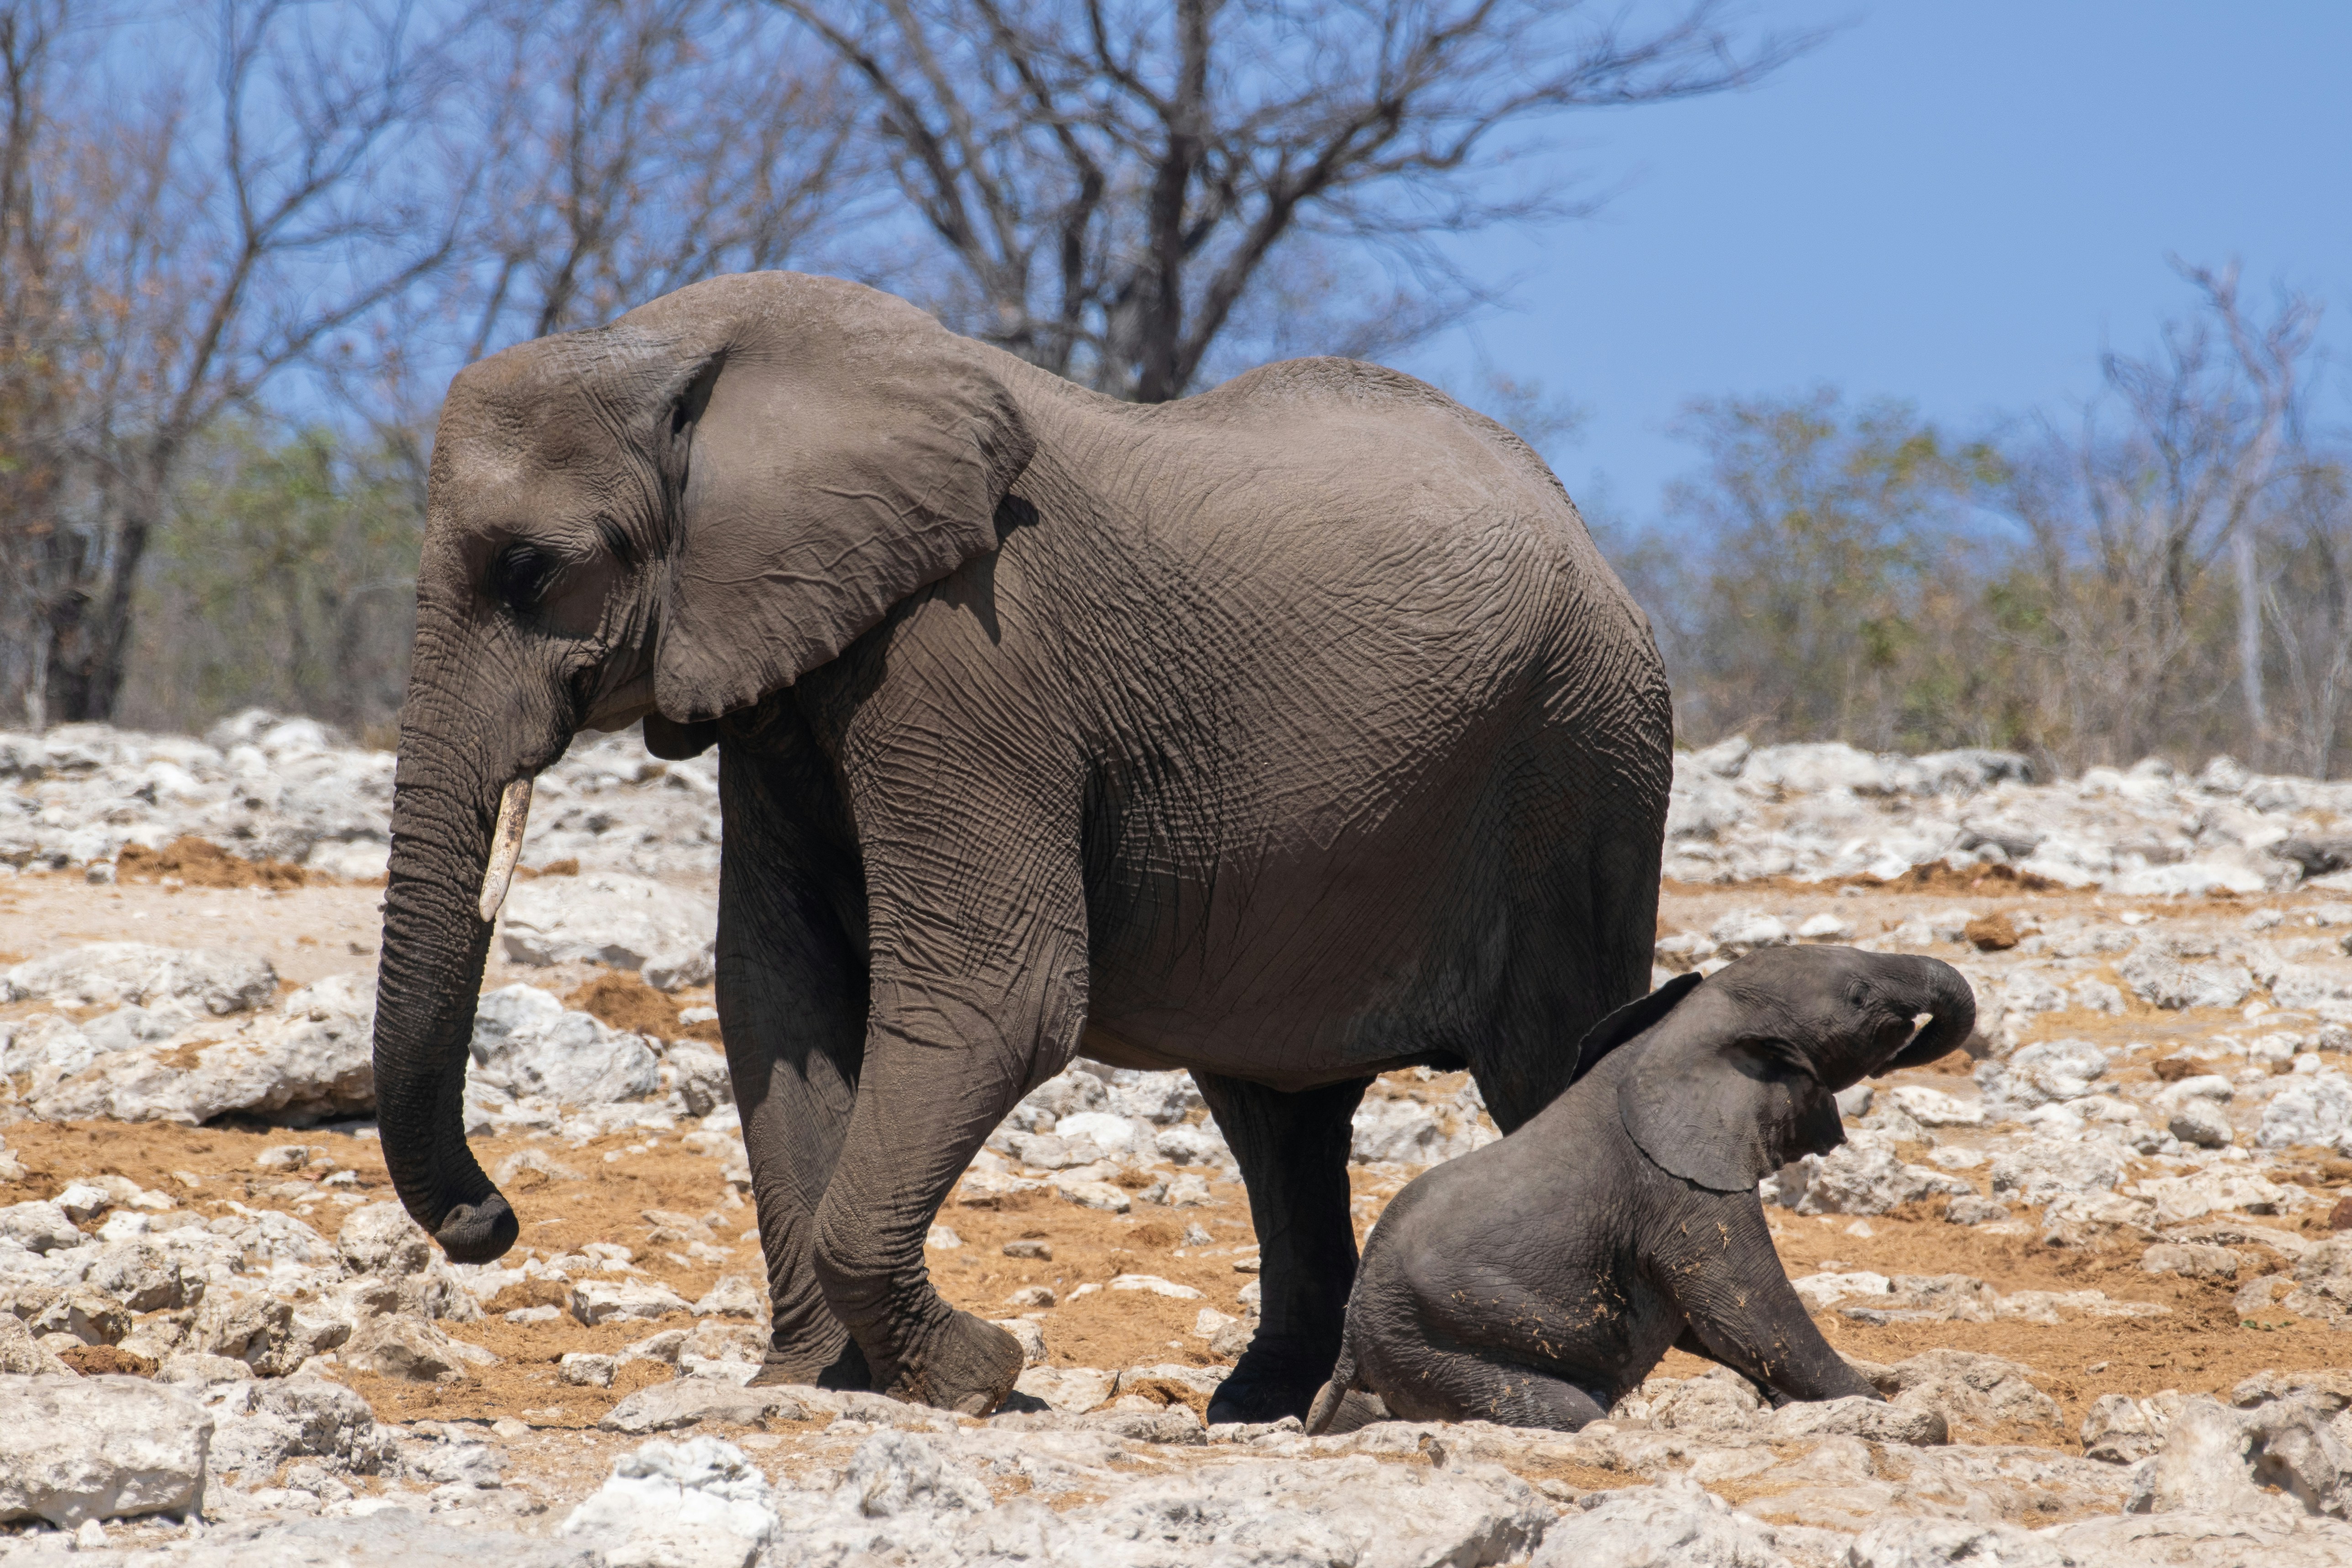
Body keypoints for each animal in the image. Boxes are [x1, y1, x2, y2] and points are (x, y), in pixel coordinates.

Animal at [369, 269, 1672, 1422]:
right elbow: (777, 1000)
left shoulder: (967, 649)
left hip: (1584, 760)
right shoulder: (782, 671)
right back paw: (1261, 1404)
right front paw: (811, 1383)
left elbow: (995, 996)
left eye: (529, 569)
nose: (492, 1223)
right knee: (1277, 1114)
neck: (676, 348)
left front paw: (979, 1375)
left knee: (1554, 1062)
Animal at [1303, 945, 1977, 1433]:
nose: (1905, 1047)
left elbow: (1707, 1326)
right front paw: (1891, 1413)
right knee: (1564, 1411)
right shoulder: (1679, 1185)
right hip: (1432, 1343)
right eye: (1858, 997)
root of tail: (1349, 1340)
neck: (1684, 1025)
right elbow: (1744, 1309)